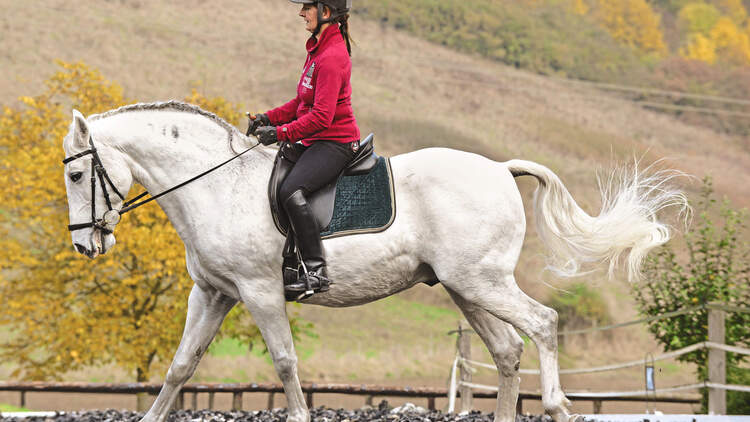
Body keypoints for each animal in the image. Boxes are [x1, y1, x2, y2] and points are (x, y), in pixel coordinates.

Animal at [61, 101, 686, 422]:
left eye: (76, 174)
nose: (85, 247)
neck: (219, 187)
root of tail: (499, 167)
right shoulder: (213, 293)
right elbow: (179, 366)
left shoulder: (260, 292)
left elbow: (285, 363)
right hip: (464, 286)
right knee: (508, 349)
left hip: (482, 281)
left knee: (543, 324)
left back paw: (556, 403)